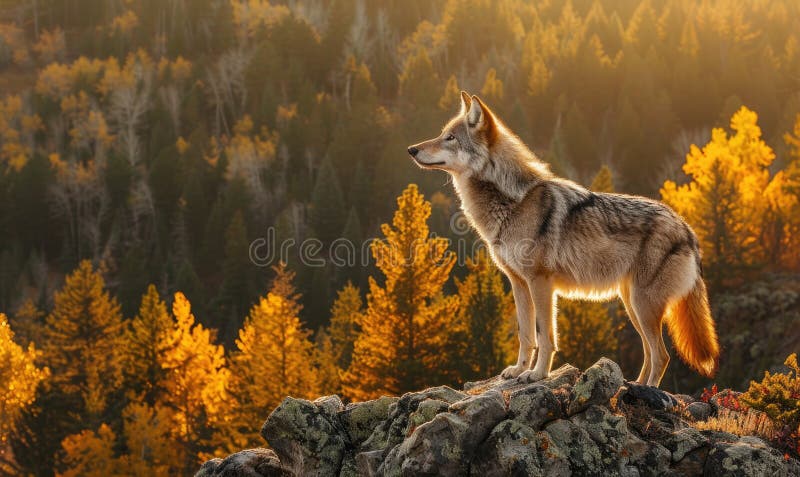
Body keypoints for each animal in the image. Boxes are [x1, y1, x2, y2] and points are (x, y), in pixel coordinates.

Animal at [407, 91, 719, 387]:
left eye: (450, 138)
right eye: (442, 134)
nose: (411, 149)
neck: (512, 201)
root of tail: (687, 229)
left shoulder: (541, 283)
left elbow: (545, 336)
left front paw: (537, 374)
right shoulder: (519, 283)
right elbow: (525, 334)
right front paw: (518, 370)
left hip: (643, 305)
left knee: (662, 355)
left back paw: (649, 391)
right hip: (632, 305)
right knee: (649, 352)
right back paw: (633, 386)